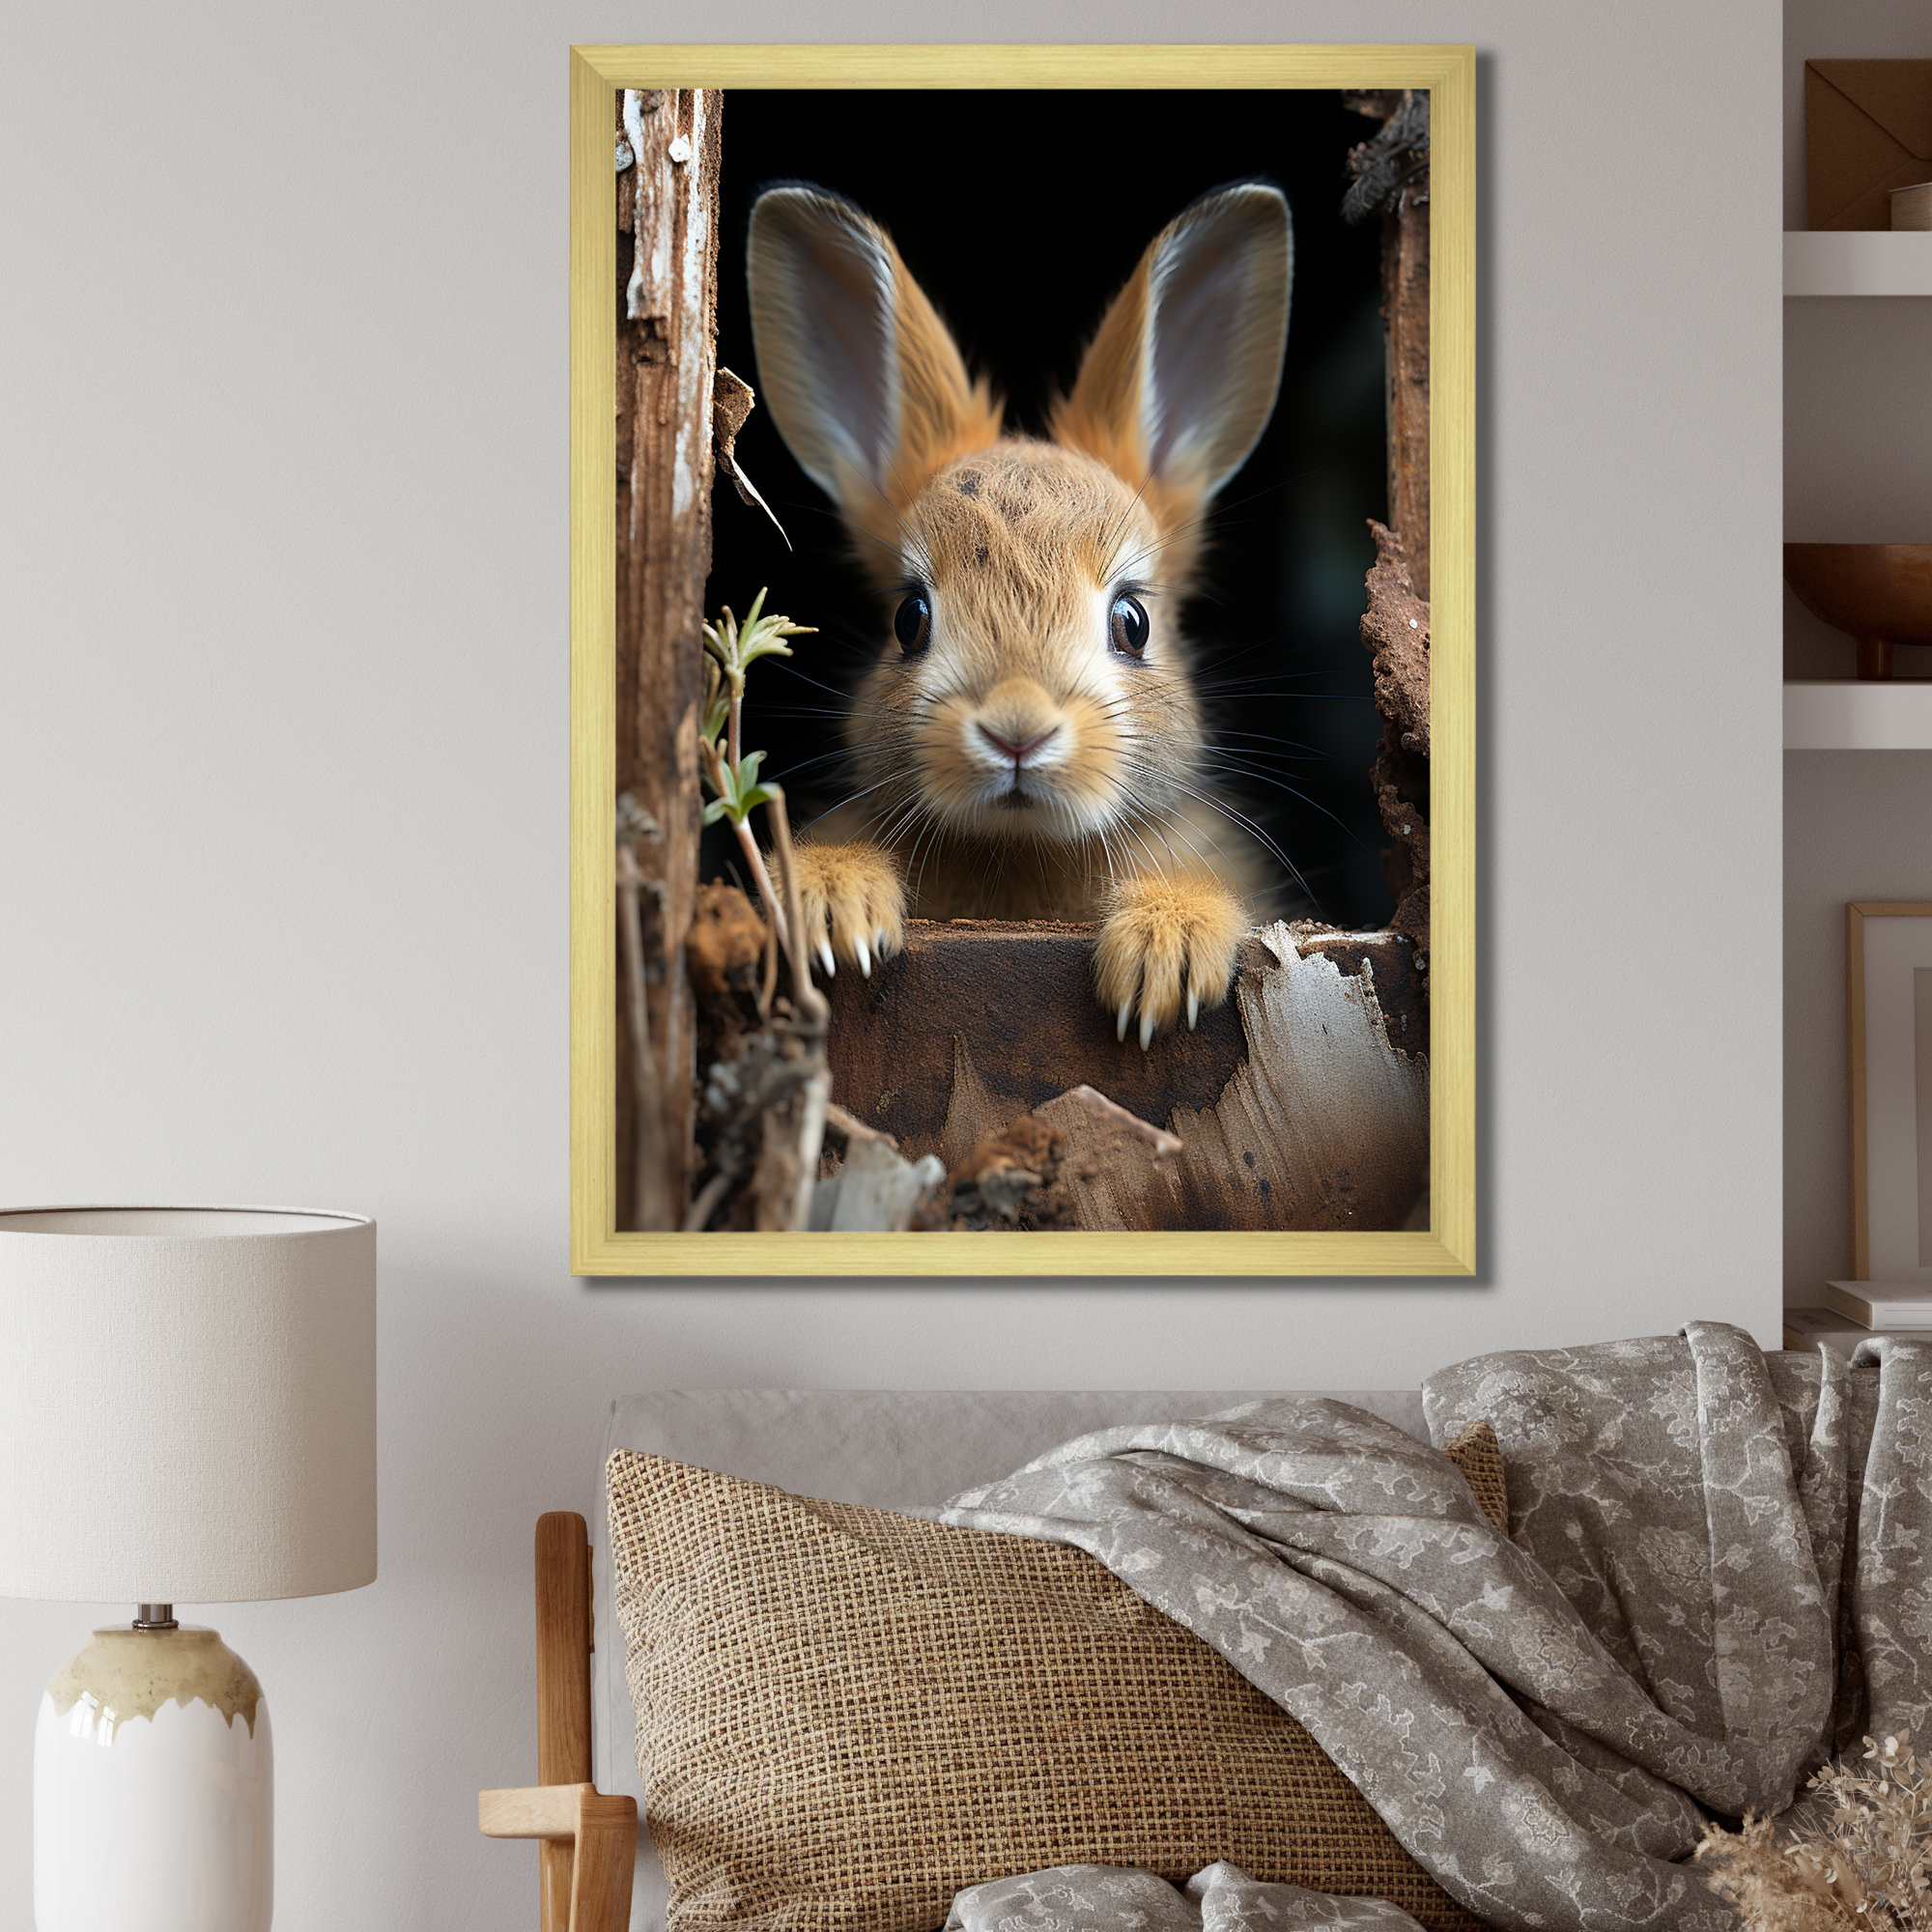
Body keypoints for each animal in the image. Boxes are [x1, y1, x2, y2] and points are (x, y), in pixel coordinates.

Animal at [746, 179, 1292, 1045]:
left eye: (1133, 623)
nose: (1016, 729)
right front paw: (834, 907)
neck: (1020, 850)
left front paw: (1165, 951)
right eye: (910, 619)